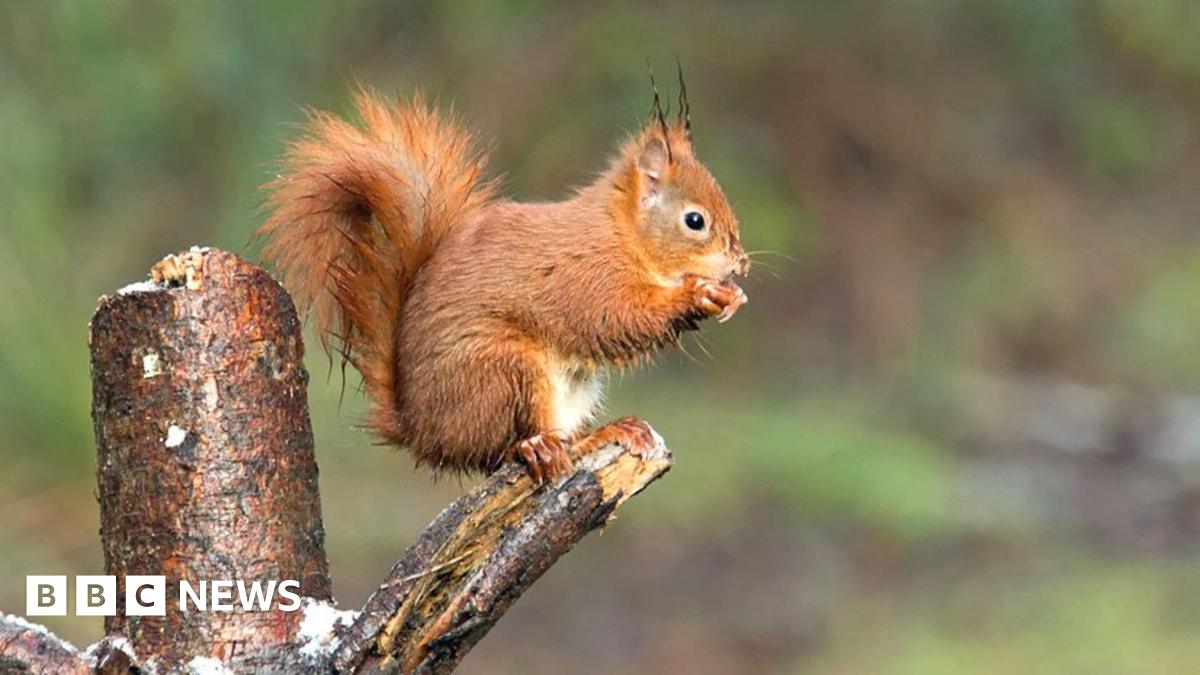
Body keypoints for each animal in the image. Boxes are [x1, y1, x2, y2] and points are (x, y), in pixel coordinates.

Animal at [257, 84, 748, 483]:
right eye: (695, 221)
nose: (741, 264)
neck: (622, 235)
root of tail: (423, 433)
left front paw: (731, 296)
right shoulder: (584, 278)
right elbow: (616, 318)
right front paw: (698, 293)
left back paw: (611, 430)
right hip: (506, 369)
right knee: (502, 448)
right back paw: (545, 446)